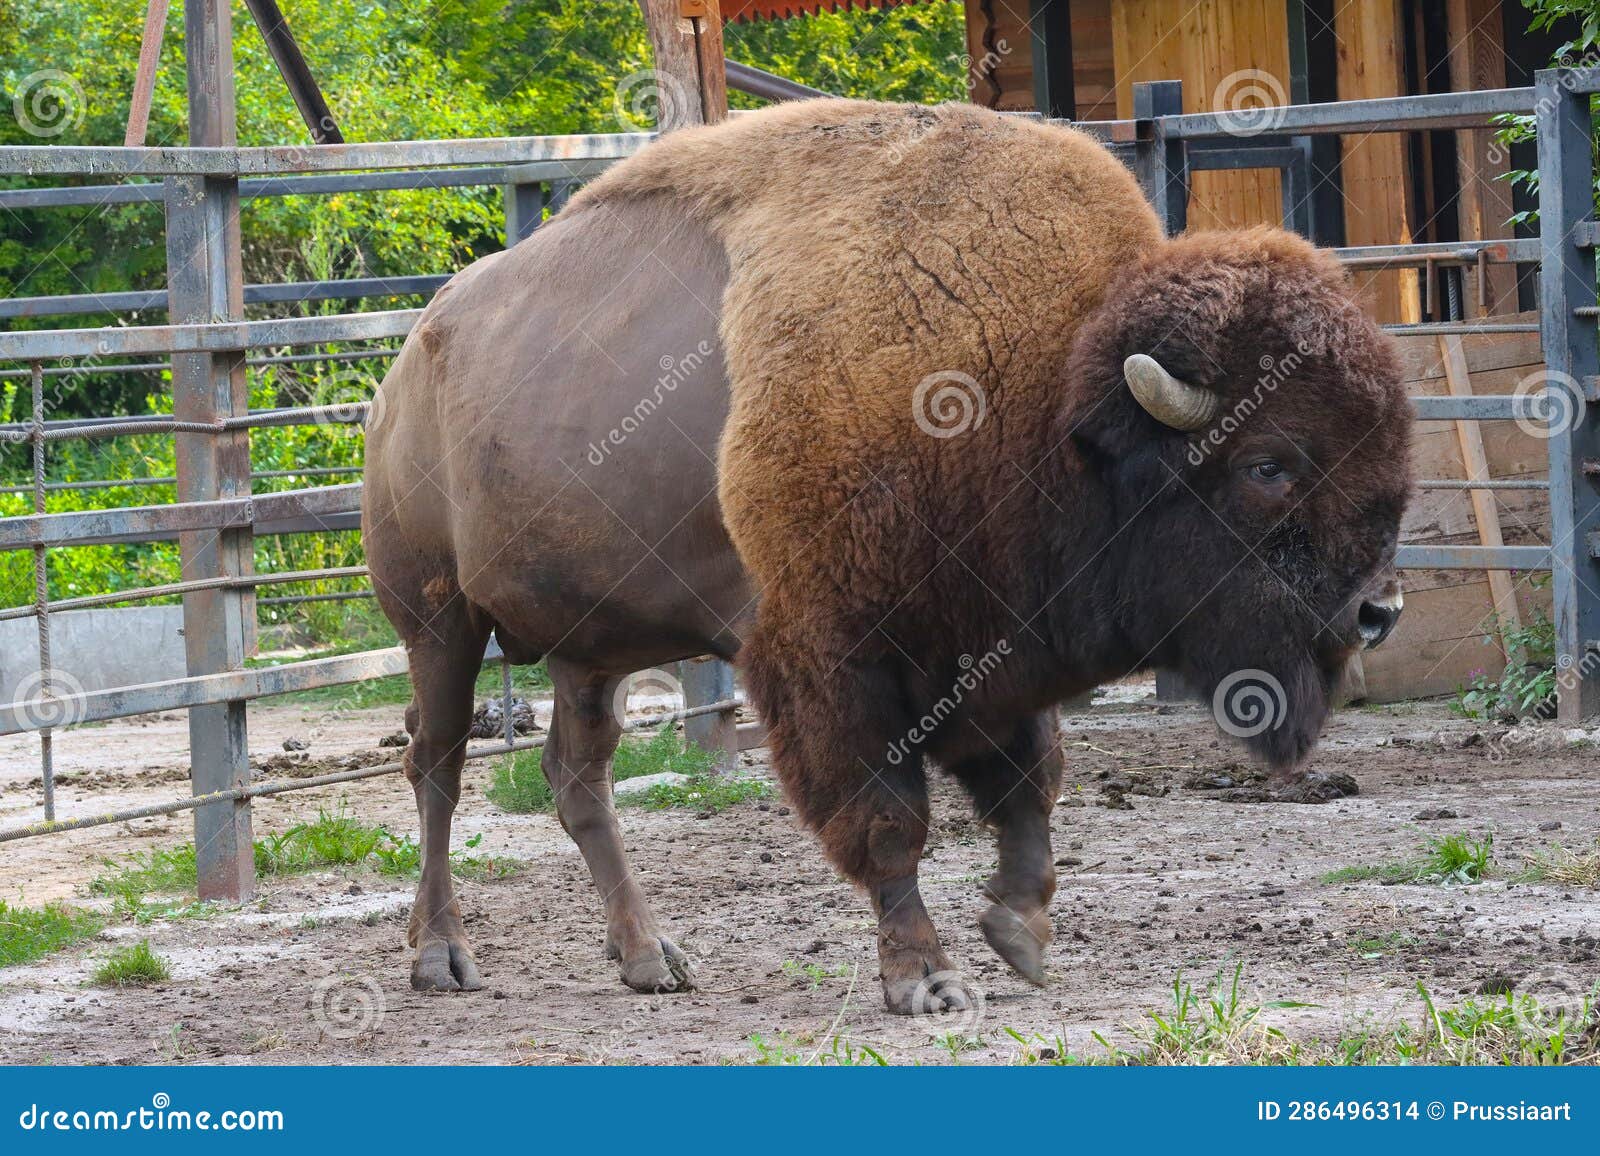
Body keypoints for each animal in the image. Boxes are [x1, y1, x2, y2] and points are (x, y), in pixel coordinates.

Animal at [362, 99, 1410, 1012]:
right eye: (1269, 463)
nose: (1377, 612)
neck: (1046, 390)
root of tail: (408, 361)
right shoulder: (830, 658)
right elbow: (889, 820)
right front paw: (926, 978)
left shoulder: (986, 649)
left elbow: (1028, 787)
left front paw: (1021, 932)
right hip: (439, 623)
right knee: (437, 764)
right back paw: (441, 958)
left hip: (589, 646)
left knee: (578, 778)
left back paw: (650, 957)